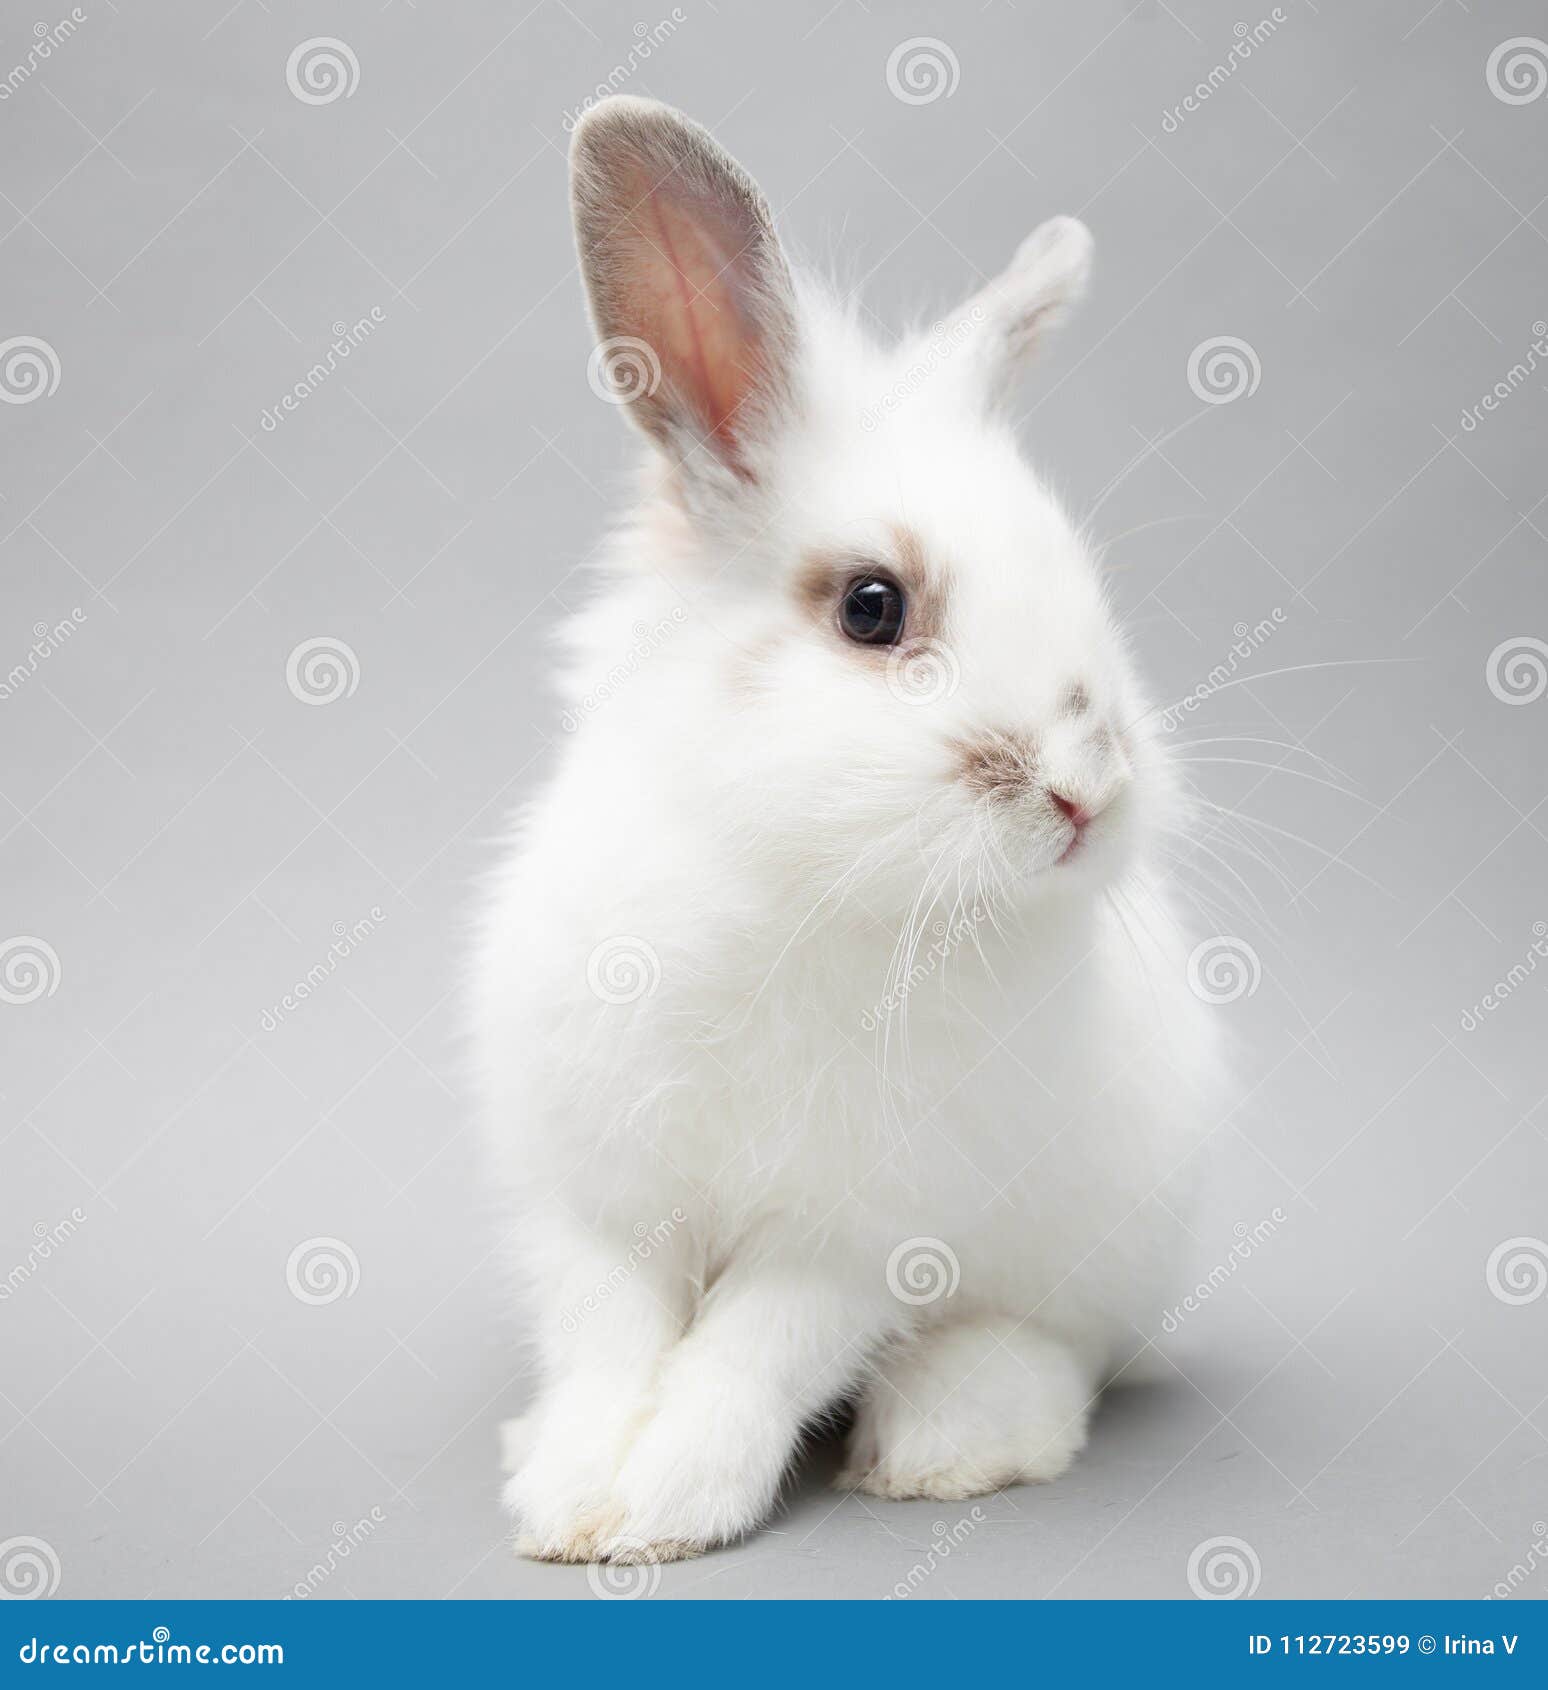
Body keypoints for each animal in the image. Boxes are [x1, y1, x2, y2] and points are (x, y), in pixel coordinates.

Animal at [472, 95, 1217, 1566]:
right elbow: (609, 1342)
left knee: (1053, 1346)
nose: (1088, 787)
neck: (795, 881)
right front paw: (573, 1500)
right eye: (873, 607)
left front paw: (666, 1504)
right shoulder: (597, 1200)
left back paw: (951, 1438)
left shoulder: (857, 1231)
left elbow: (751, 1353)